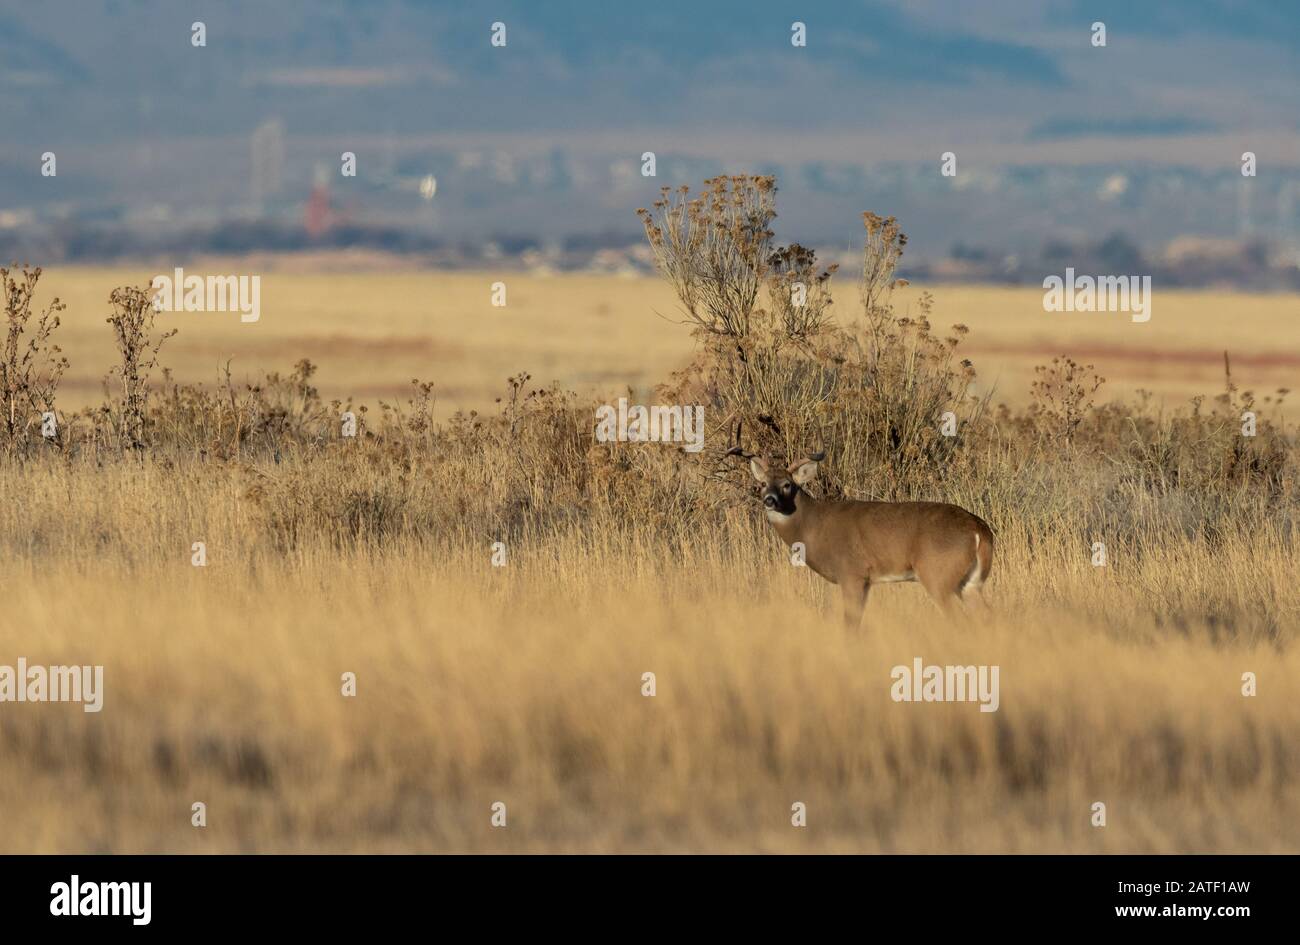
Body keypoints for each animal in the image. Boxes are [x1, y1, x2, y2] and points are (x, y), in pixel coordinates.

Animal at [726, 428, 993, 631]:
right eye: (762, 483)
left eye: (787, 485)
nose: (769, 500)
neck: (813, 526)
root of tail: (979, 530)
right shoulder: (865, 581)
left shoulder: (852, 574)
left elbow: (850, 625)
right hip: (970, 583)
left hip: (938, 576)